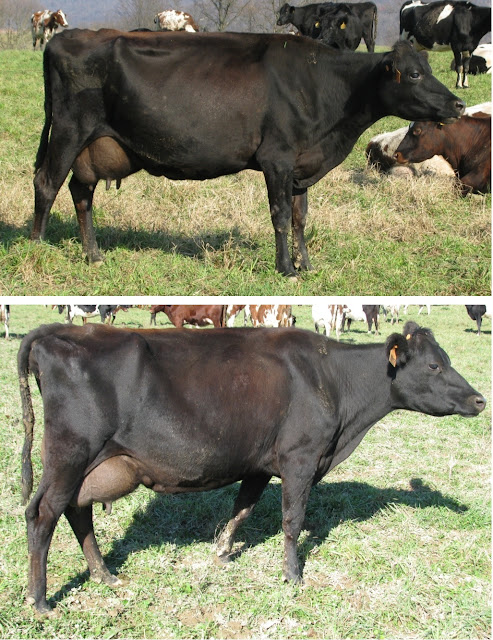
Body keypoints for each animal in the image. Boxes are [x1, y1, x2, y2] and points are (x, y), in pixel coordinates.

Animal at [18, 321, 486, 615]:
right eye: (434, 365)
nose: (480, 399)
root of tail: (57, 332)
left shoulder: (260, 463)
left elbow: (242, 508)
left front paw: (223, 551)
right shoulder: (300, 459)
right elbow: (292, 521)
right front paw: (293, 575)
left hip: (88, 464)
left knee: (76, 511)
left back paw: (104, 575)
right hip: (69, 453)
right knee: (42, 514)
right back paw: (40, 601)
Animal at [31, 31, 465, 277]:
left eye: (429, 68)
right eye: (414, 74)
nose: (459, 104)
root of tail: (65, 36)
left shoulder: (301, 164)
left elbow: (300, 218)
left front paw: (307, 265)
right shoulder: (277, 158)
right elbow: (280, 216)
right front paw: (286, 269)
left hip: (91, 147)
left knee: (80, 193)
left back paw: (93, 255)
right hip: (69, 130)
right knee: (46, 183)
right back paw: (34, 249)